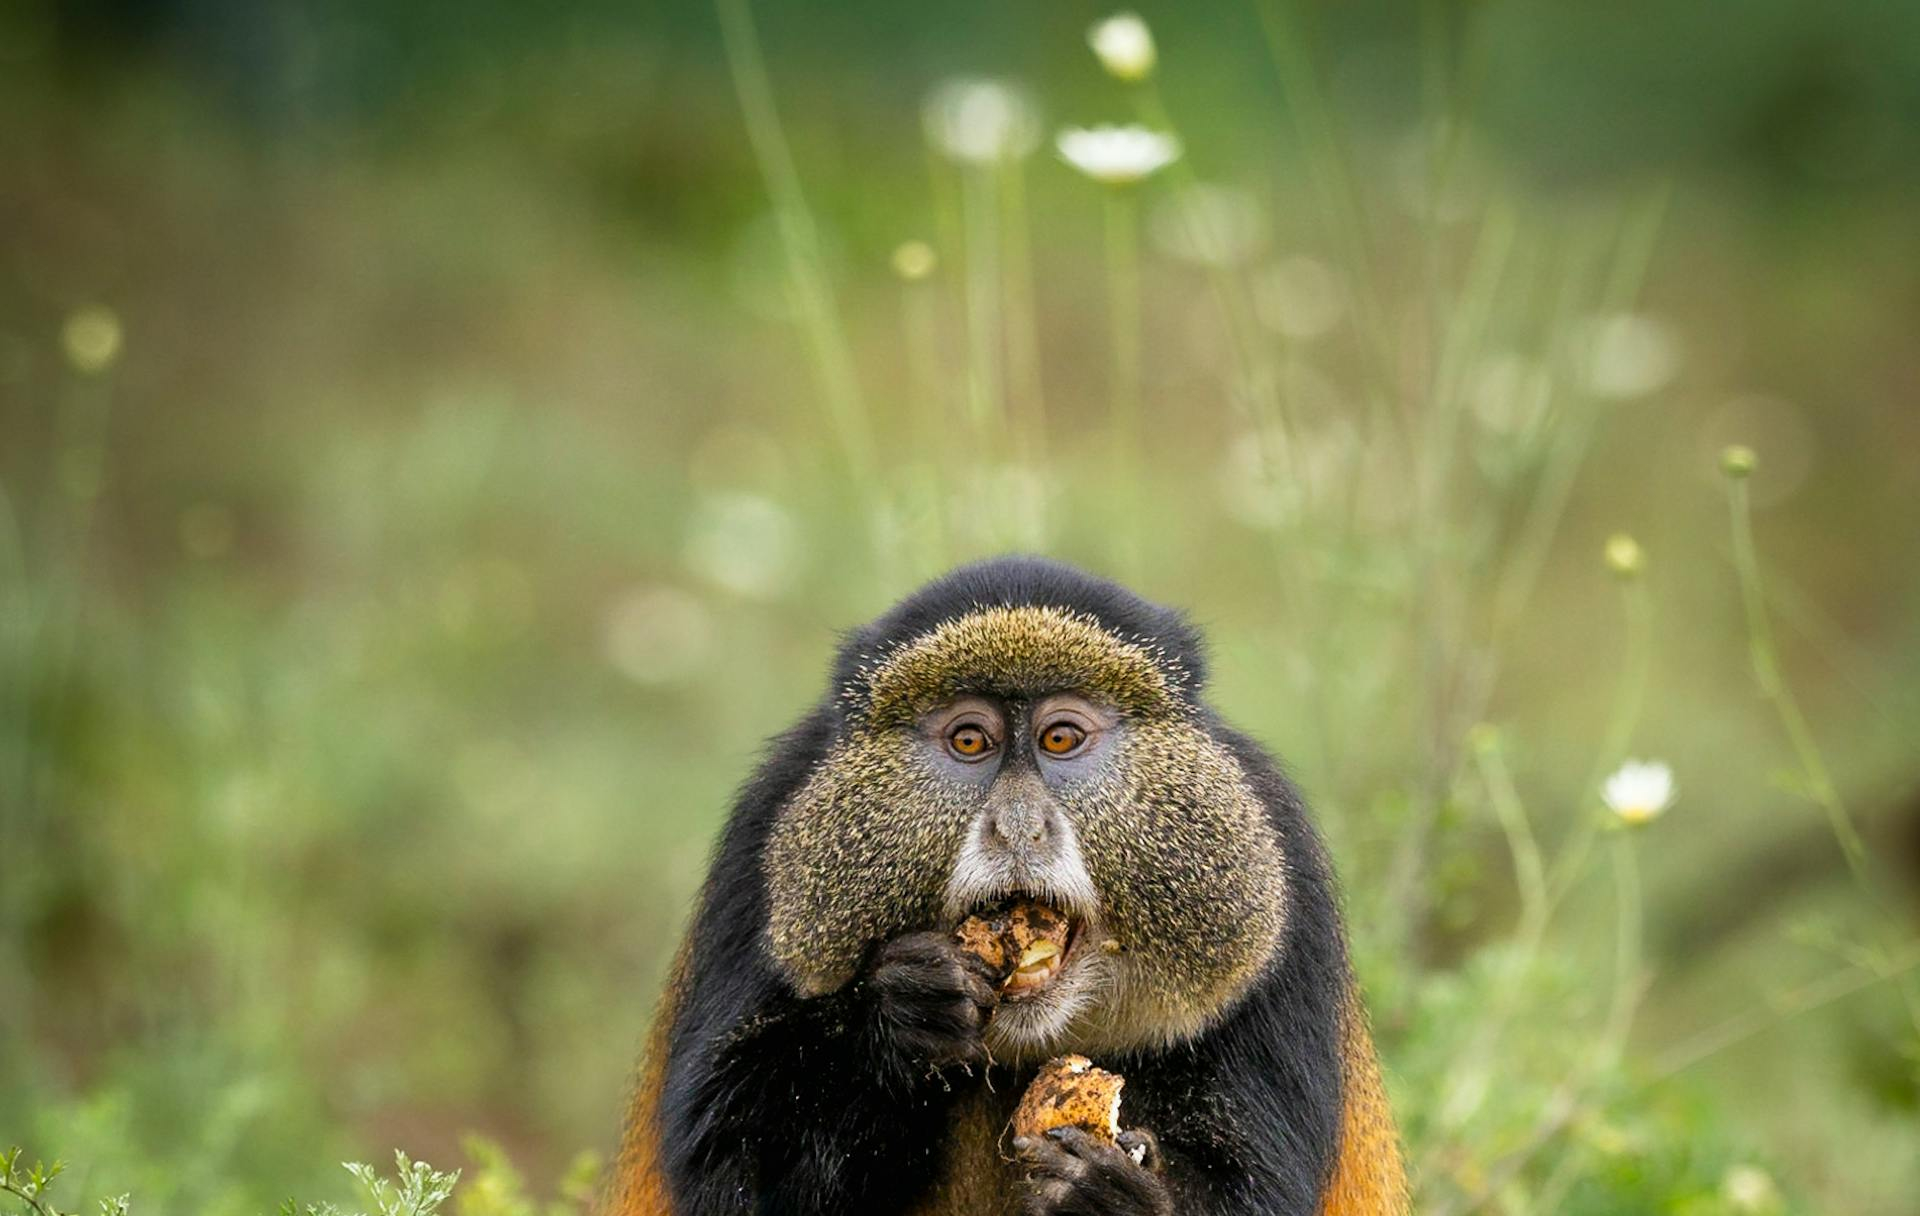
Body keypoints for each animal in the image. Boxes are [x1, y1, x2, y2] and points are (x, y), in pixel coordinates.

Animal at [604, 556, 1409, 1216]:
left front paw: (1113, 1196)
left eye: (1060, 738)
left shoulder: (1281, 859)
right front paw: (898, 1013)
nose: (1018, 827)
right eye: (970, 741)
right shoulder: (760, 837)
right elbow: (730, 1168)